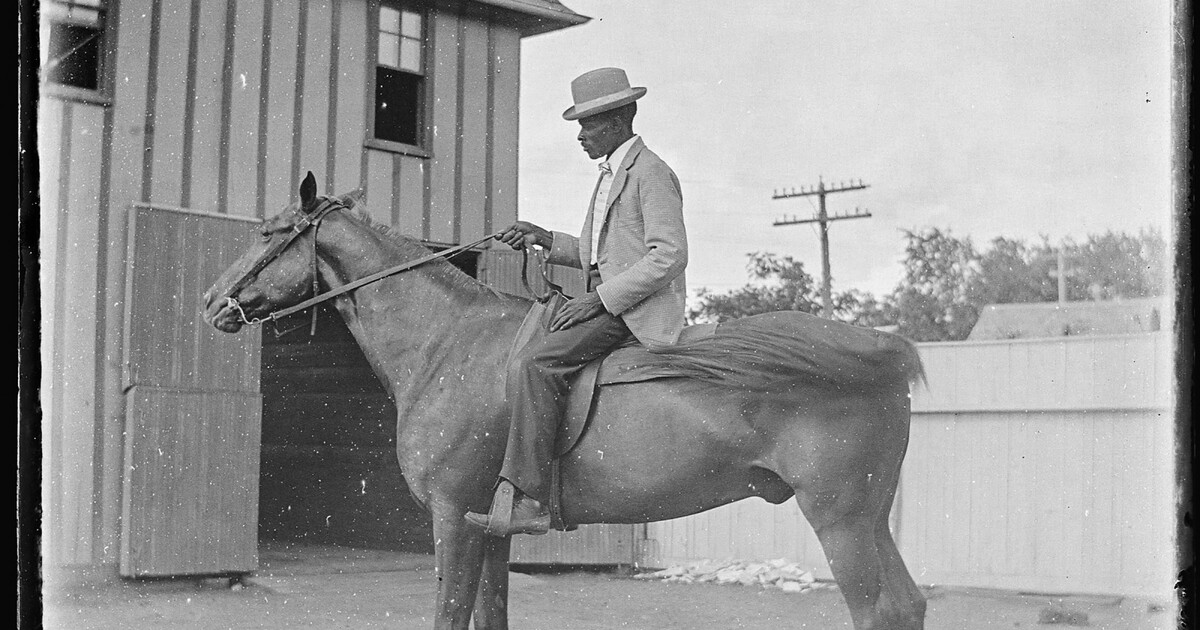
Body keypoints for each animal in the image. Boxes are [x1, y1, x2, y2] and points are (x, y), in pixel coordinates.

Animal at [202, 172, 928, 630]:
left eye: (270, 233)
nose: (211, 303)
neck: (448, 342)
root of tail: (883, 352)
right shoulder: (488, 528)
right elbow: (490, 615)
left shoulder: (452, 516)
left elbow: (449, 615)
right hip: (869, 518)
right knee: (909, 607)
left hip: (839, 520)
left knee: (880, 611)